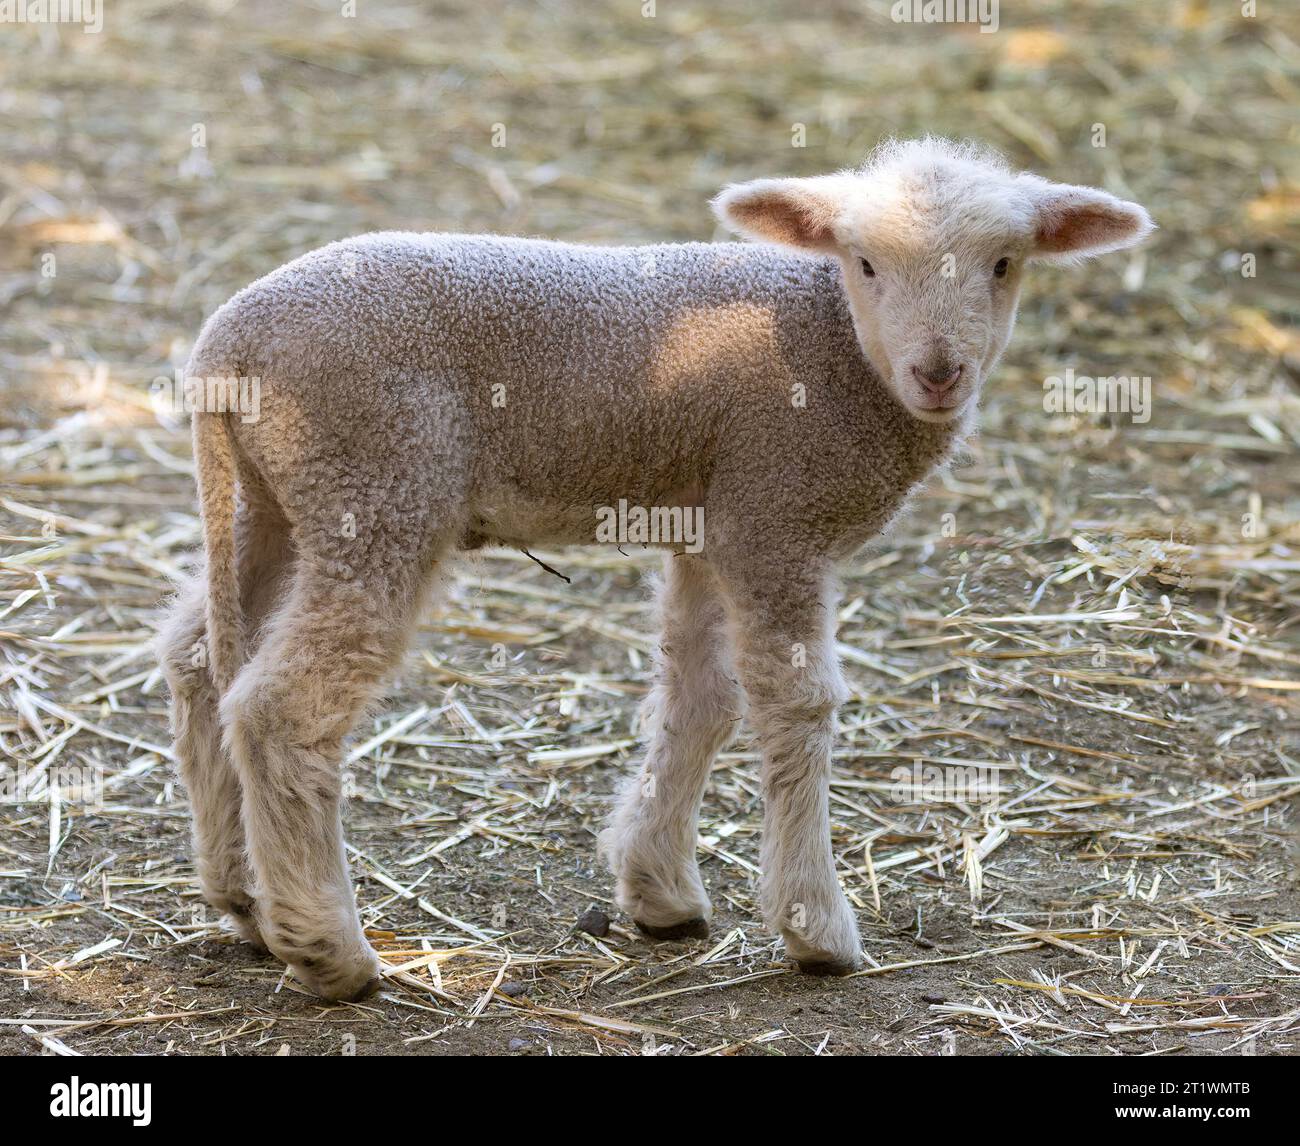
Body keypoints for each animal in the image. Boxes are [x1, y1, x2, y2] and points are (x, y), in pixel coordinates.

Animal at [157, 138, 1153, 999]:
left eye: (1004, 265)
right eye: (864, 263)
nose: (940, 372)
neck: (836, 344)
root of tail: (223, 347)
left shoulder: (711, 523)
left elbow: (701, 698)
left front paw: (660, 890)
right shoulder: (775, 517)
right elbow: (797, 704)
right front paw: (816, 926)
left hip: (278, 502)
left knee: (199, 658)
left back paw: (242, 895)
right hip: (376, 488)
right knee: (280, 707)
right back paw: (329, 949)